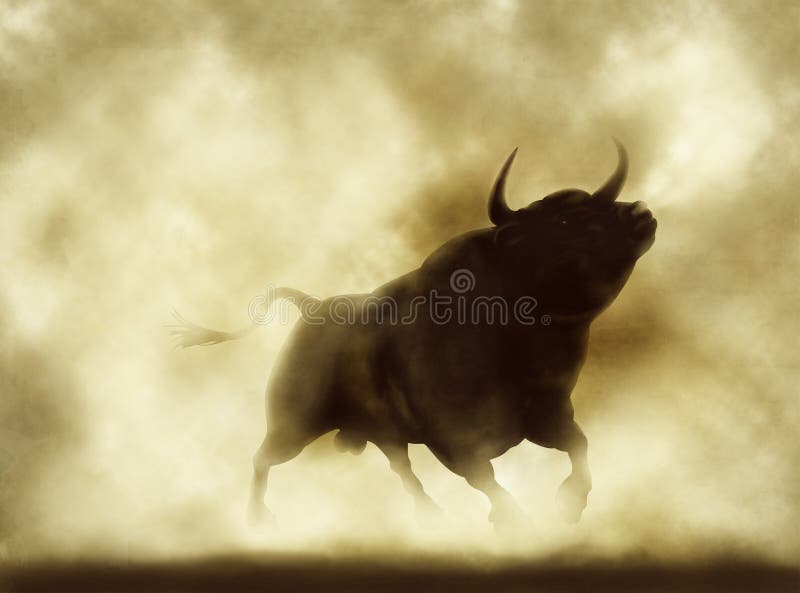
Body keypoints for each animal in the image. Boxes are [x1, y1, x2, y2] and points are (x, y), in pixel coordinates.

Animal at [170, 141, 656, 528]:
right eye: (565, 222)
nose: (641, 213)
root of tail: (313, 306)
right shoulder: (456, 443)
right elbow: (488, 480)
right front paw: (514, 520)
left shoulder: (550, 416)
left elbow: (579, 448)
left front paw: (568, 507)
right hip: (293, 426)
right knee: (263, 459)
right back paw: (257, 519)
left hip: (377, 432)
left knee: (398, 466)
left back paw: (428, 512)